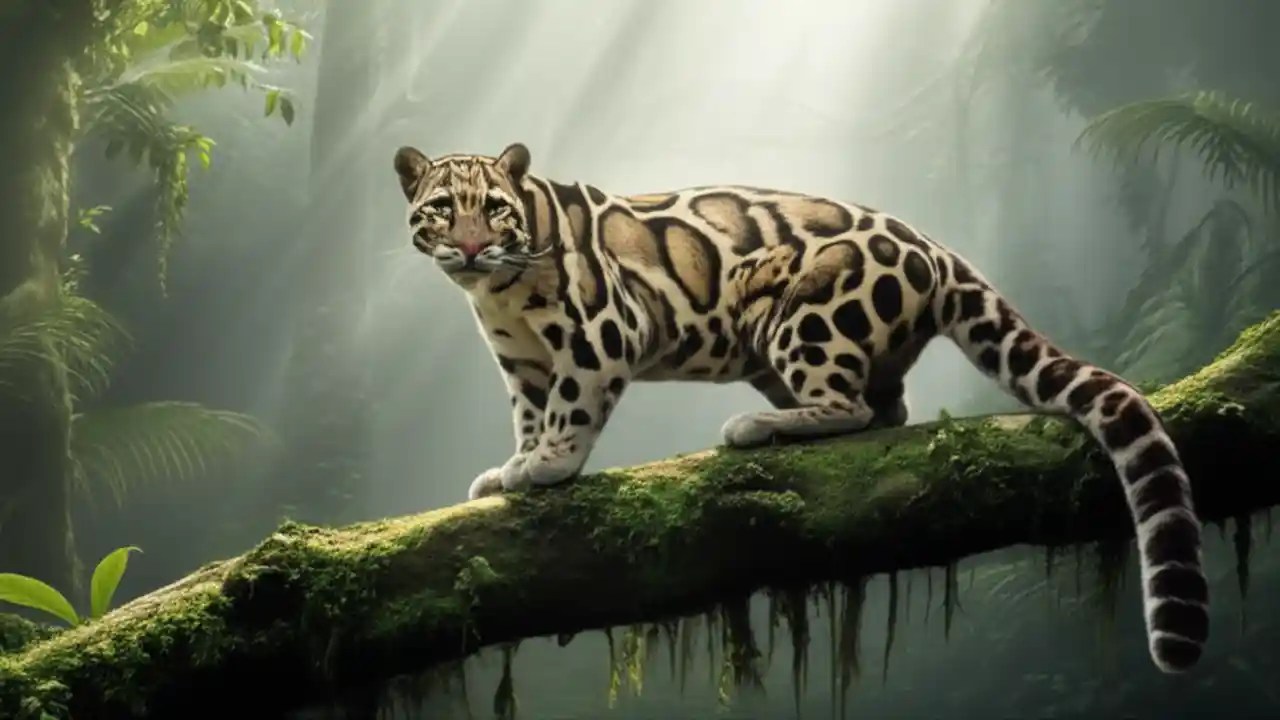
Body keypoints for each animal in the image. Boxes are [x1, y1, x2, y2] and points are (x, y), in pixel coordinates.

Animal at [392, 141, 1208, 674]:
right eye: (443, 210)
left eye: (494, 211)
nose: (471, 248)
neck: (497, 291)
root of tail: (934, 246)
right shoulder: (522, 358)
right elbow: (528, 411)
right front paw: (513, 464)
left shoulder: (599, 332)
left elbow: (568, 408)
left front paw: (549, 466)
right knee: (888, 409)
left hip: (803, 317)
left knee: (849, 407)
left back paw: (760, 427)